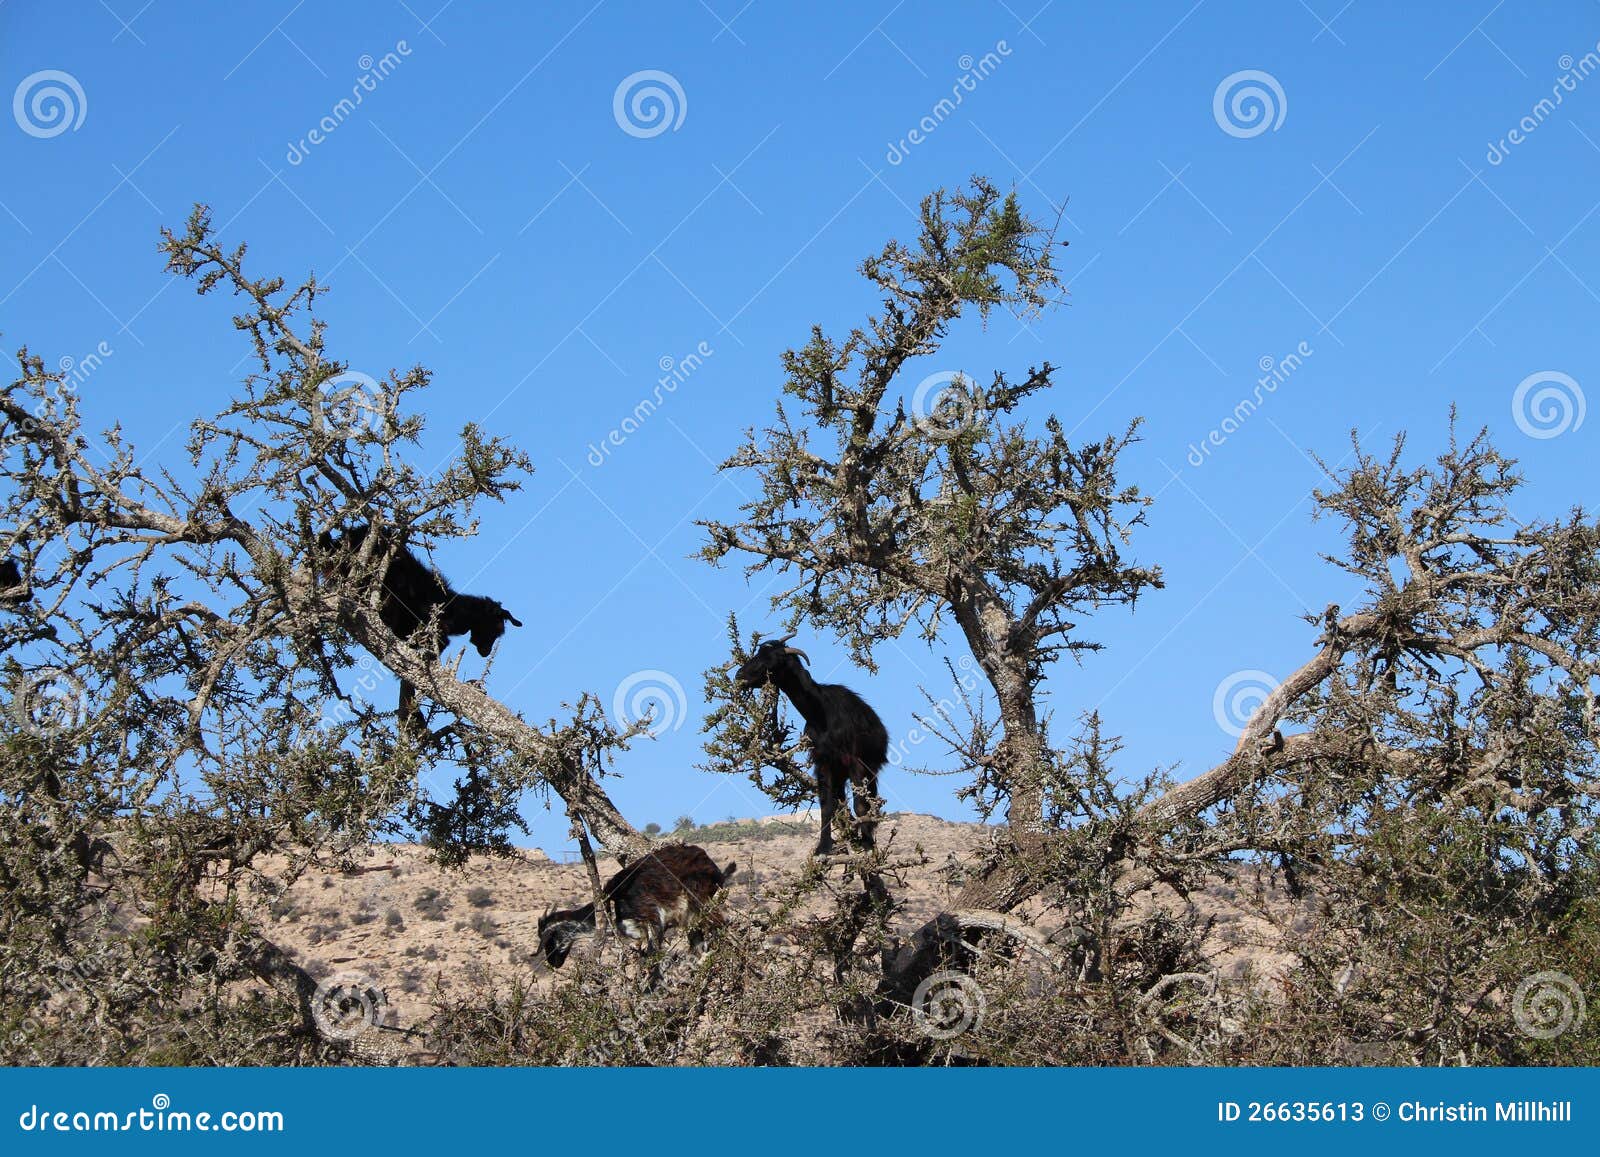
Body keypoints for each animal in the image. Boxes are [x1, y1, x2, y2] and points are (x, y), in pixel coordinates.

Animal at [538, 844, 736, 976]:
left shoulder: (652, 915)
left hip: (698, 897)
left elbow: (652, 954)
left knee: (722, 922)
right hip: (691, 914)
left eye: (550, 940)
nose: (553, 963)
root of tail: (710, 864)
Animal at [735, 634, 888, 857]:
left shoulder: (855, 761)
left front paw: (868, 845)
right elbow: (826, 805)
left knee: (868, 801)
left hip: (871, 766)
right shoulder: (822, 761)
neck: (820, 712)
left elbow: (860, 804)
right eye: (758, 653)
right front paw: (823, 848)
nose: (739, 675)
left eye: (772, 661)